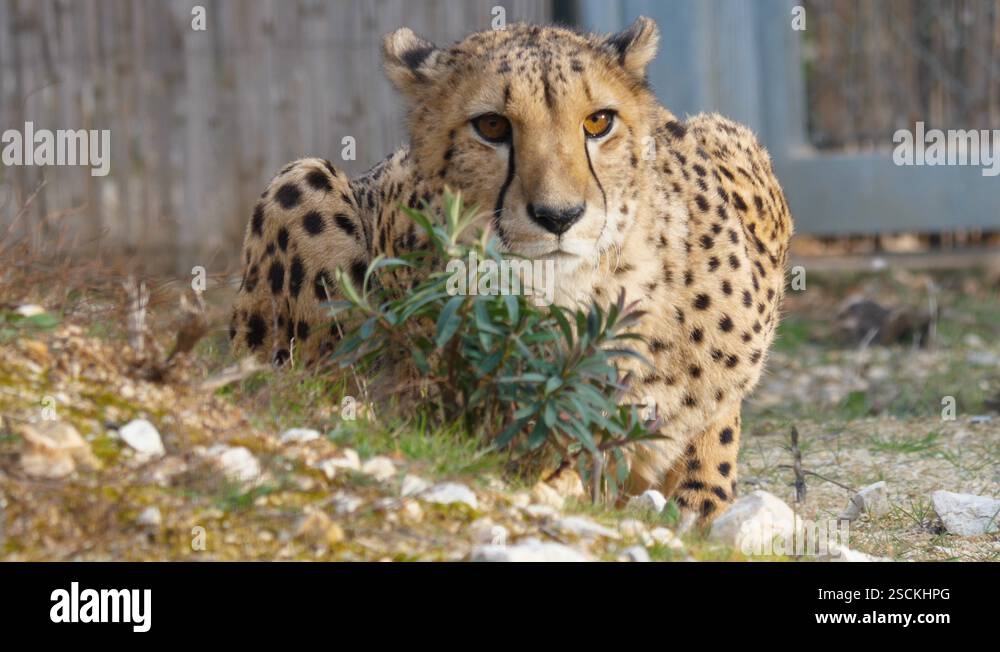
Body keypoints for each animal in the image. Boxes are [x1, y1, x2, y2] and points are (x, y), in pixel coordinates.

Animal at [229, 17, 793, 524]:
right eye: (492, 126)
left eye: (599, 122)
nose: (559, 216)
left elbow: (709, 426)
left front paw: (699, 491)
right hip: (300, 182)